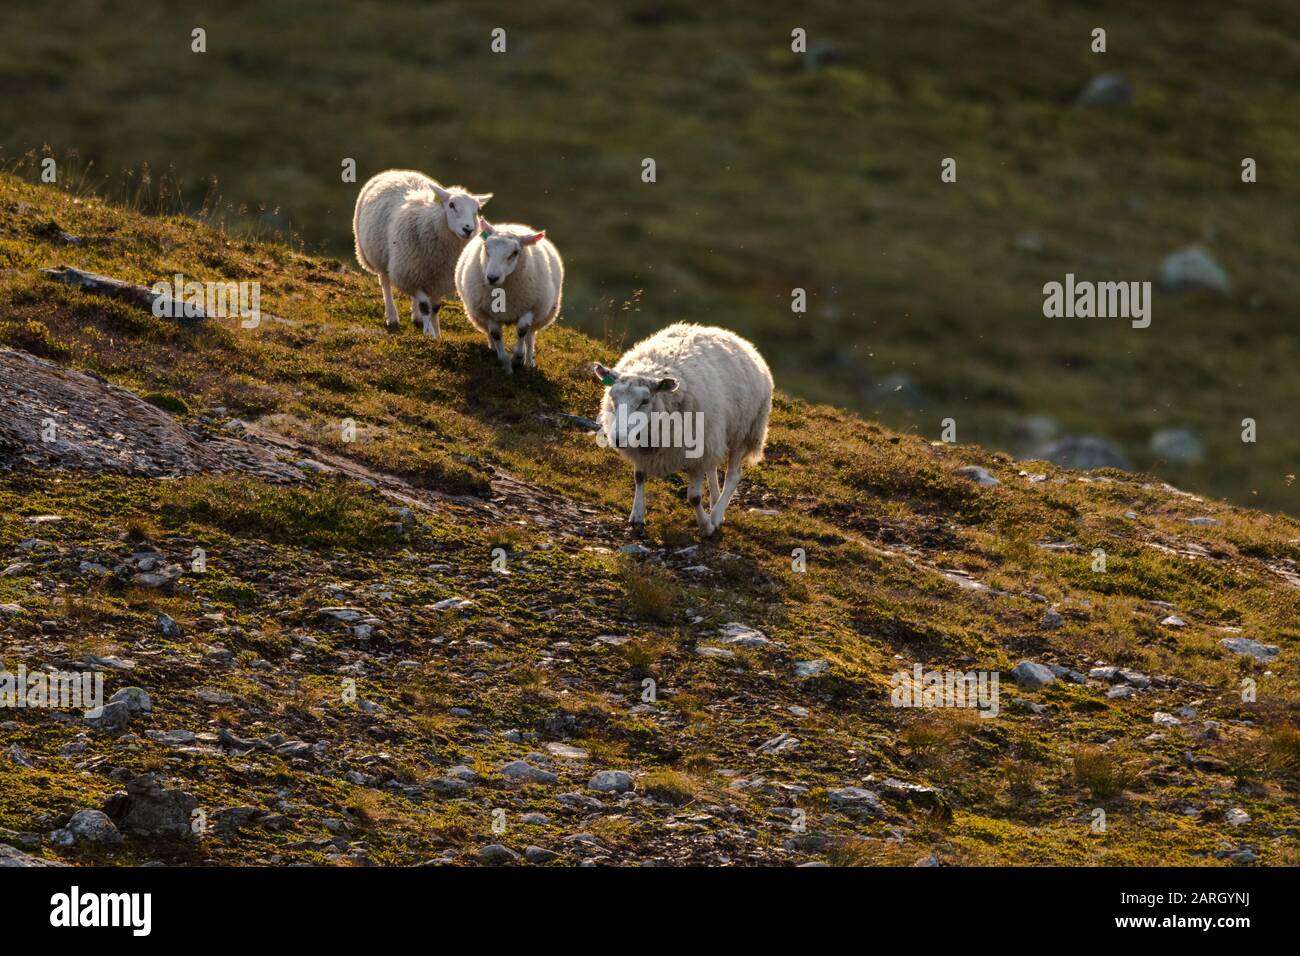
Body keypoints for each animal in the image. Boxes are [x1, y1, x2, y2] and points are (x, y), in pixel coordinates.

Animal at [353, 169, 492, 337]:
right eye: (451, 205)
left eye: (477, 210)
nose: (468, 229)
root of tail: (398, 171)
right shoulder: (406, 274)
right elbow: (425, 305)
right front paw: (429, 333)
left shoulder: (441, 279)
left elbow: (435, 307)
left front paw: (437, 333)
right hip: (378, 255)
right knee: (385, 282)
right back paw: (392, 317)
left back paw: (417, 317)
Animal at [454, 219, 563, 373]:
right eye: (486, 247)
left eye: (515, 252)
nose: (492, 278)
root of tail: (511, 225)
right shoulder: (487, 312)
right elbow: (495, 334)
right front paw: (505, 364)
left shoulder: (531, 308)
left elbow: (522, 329)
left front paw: (518, 359)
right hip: (477, 316)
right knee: (489, 333)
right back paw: (493, 349)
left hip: (541, 314)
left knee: (530, 336)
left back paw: (529, 362)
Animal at [593, 323, 773, 537]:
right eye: (613, 397)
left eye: (645, 401)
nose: (618, 438)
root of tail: (731, 335)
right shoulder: (643, 451)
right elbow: (639, 477)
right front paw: (637, 515)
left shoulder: (697, 451)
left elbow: (694, 497)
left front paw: (706, 527)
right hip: (715, 434)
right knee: (712, 469)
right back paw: (715, 502)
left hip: (744, 431)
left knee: (733, 476)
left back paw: (717, 514)